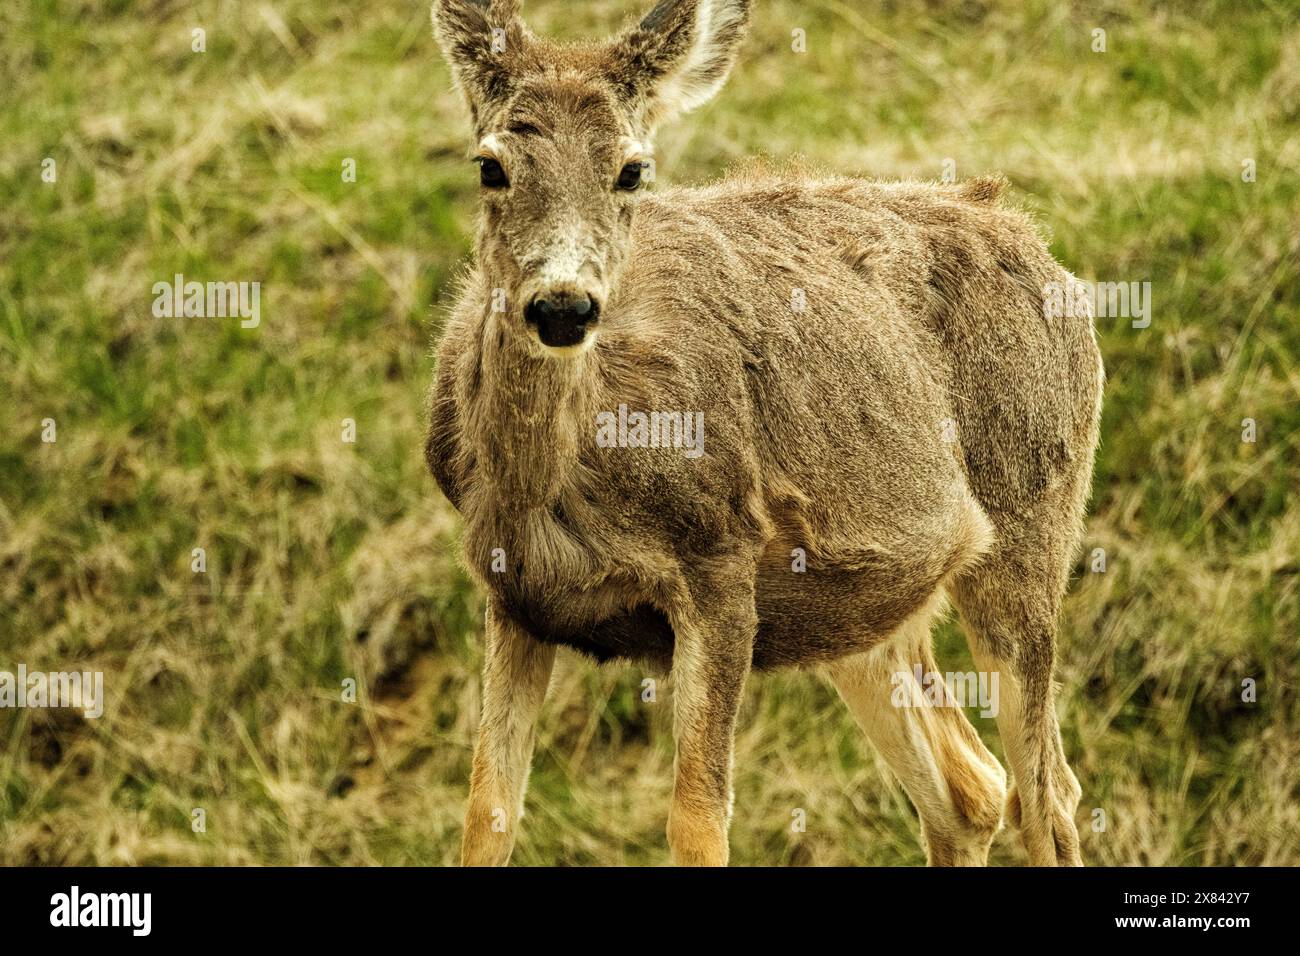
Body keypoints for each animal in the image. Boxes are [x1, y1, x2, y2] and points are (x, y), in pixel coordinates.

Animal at [425, 0, 1103, 867]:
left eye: (632, 170)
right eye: (491, 166)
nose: (563, 306)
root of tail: (1047, 256)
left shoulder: (718, 565)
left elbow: (697, 820)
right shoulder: (512, 595)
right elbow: (486, 815)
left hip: (1029, 531)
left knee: (1047, 797)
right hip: (863, 605)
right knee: (972, 788)